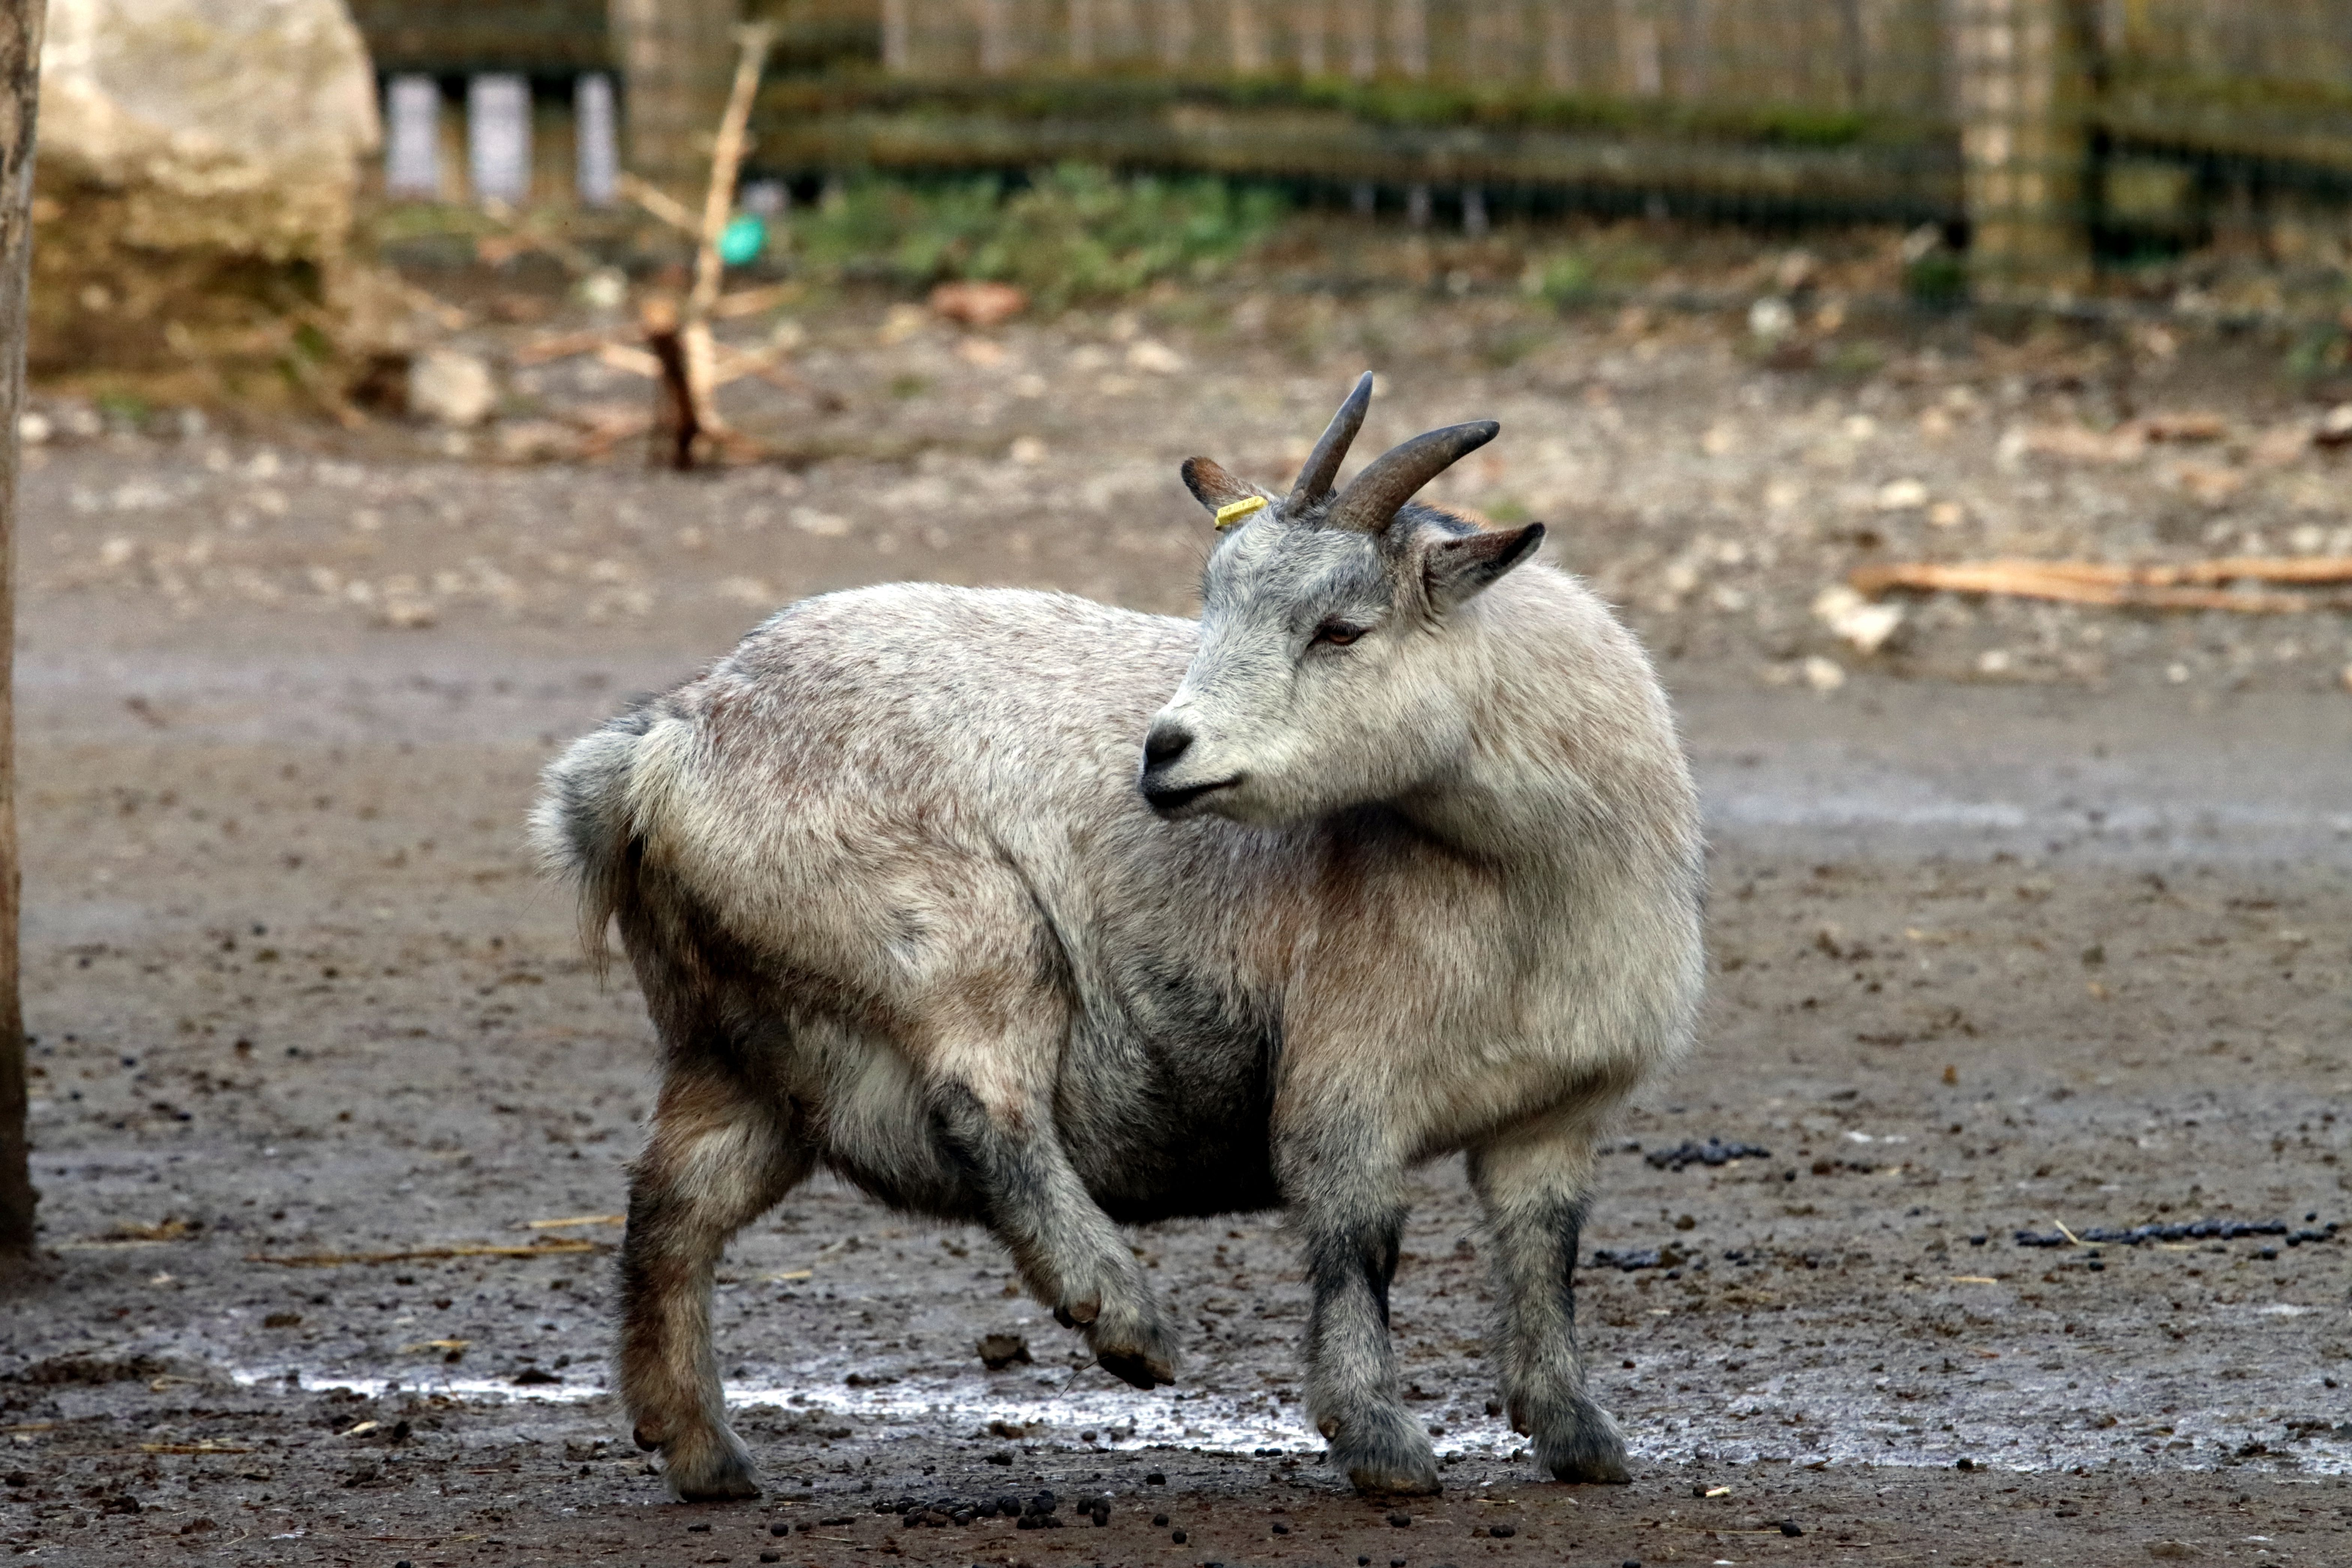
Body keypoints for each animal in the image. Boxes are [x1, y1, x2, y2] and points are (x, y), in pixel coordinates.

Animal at [531, 374, 1705, 1502]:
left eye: (1340, 629)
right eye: (1212, 602)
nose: (1164, 754)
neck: (1531, 884)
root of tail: (666, 741)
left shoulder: (1553, 1114)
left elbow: (1543, 1257)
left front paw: (1578, 1435)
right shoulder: (1345, 1077)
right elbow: (1355, 1241)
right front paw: (1381, 1442)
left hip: (741, 1038)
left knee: (674, 1206)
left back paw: (701, 1451)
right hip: (947, 936)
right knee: (979, 1105)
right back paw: (1122, 1314)